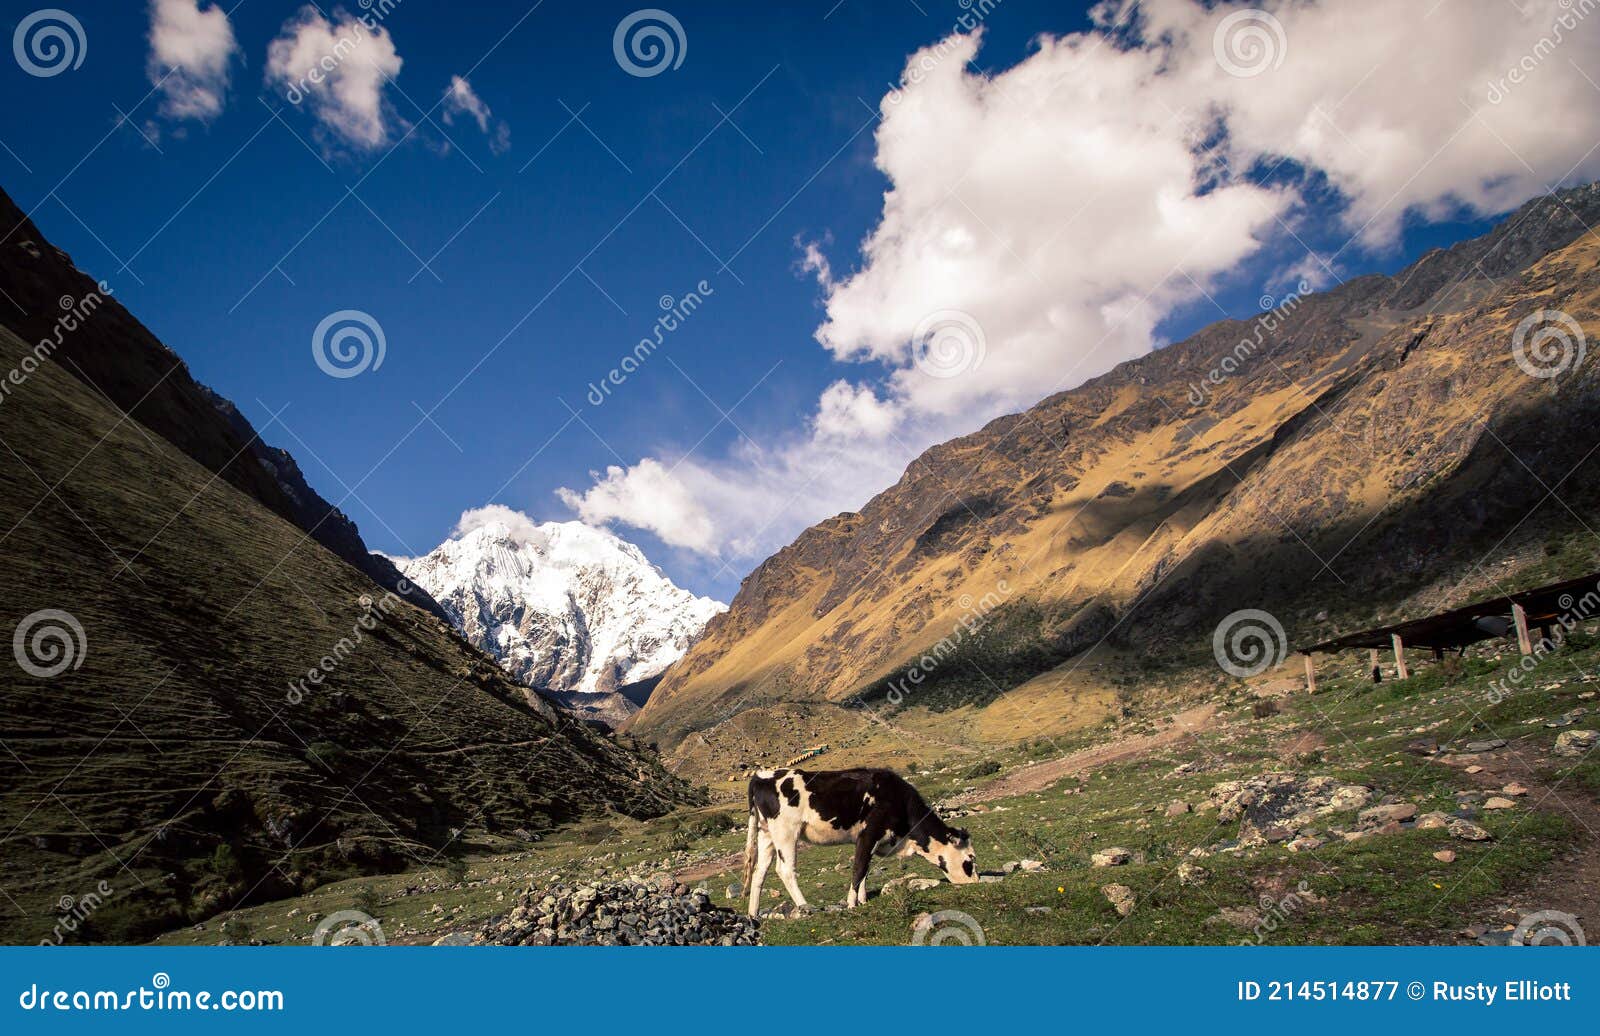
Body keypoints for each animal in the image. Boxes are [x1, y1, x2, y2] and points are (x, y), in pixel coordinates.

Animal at [741, 767, 977, 916]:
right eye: (970, 859)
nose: (976, 882)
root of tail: (761, 776)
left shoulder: (873, 841)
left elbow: (866, 869)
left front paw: (863, 900)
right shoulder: (868, 834)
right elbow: (859, 868)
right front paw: (852, 904)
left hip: (766, 834)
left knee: (760, 871)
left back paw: (754, 914)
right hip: (786, 832)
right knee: (785, 870)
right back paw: (805, 906)